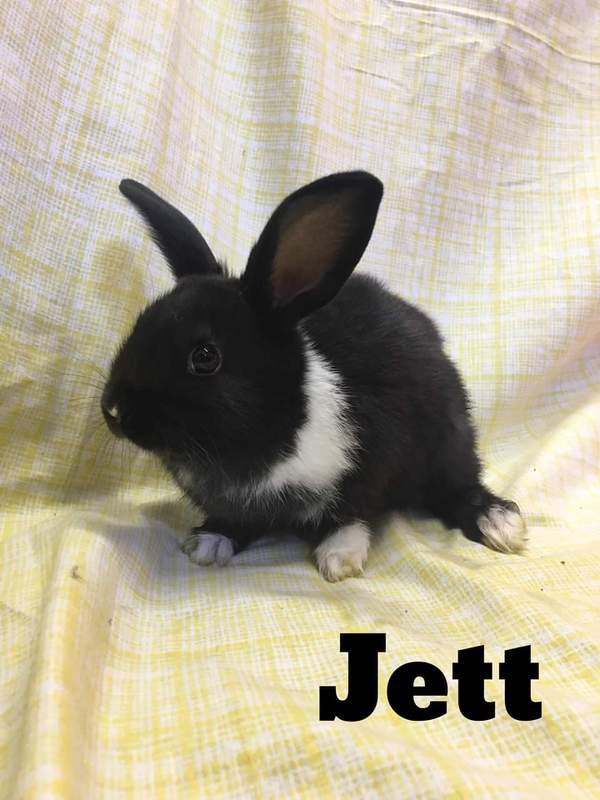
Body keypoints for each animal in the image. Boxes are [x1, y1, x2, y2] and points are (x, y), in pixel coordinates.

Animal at [101, 171, 526, 582]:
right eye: (139, 325)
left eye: (205, 357)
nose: (114, 410)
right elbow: (235, 521)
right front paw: (209, 542)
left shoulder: (371, 461)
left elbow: (351, 512)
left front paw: (339, 557)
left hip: (449, 437)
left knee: (458, 485)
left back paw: (499, 523)